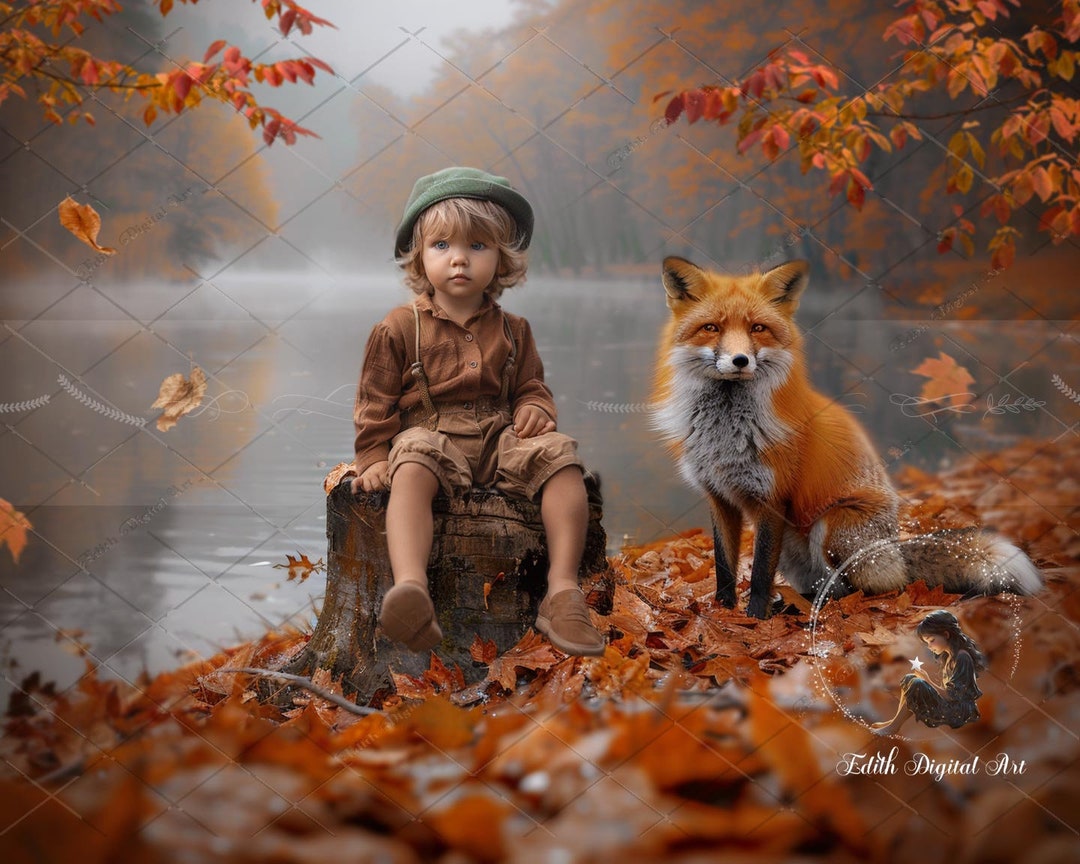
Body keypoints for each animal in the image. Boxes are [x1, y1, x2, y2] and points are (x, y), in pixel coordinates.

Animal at [651, 256, 1043, 618]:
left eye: (758, 328)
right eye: (711, 328)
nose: (740, 360)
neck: (726, 433)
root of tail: (895, 548)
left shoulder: (772, 500)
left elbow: (760, 572)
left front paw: (755, 619)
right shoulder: (719, 498)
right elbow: (723, 565)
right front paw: (722, 610)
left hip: (830, 527)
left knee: (855, 591)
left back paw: (801, 608)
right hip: (795, 551)